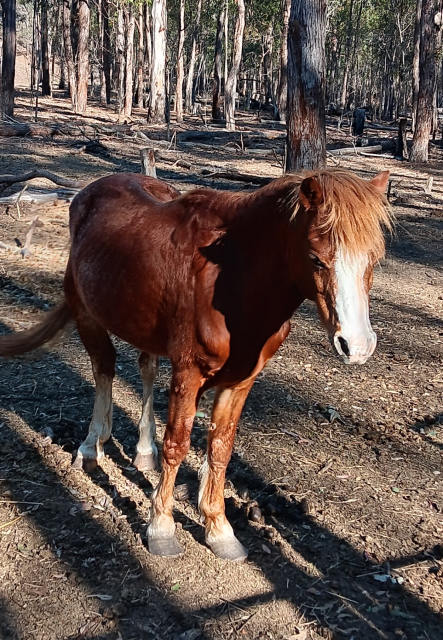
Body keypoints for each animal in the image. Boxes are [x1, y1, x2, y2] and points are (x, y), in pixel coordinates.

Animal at [0, 168, 391, 562]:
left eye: (374, 258)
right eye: (315, 259)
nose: (357, 345)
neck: (232, 278)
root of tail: (91, 190)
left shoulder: (241, 381)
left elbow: (220, 449)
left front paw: (219, 528)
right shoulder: (188, 373)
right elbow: (177, 444)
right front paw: (160, 526)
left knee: (145, 368)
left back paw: (143, 451)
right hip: (87, 315)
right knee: (104, 370)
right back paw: (90, 446)